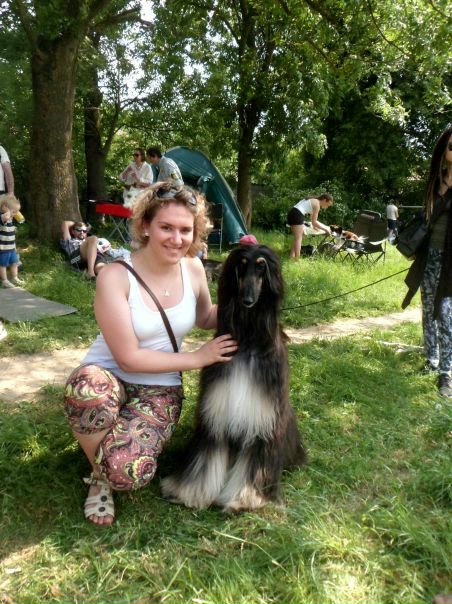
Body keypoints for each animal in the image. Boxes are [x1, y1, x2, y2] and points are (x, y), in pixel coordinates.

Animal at [161, 244, 306, 512]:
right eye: (241, 265)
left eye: (261, 267)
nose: (247, 300)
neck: (247, 336)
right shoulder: (215, 412)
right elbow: (206, 458)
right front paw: (191, 492)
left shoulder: (263, 417)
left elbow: (255, 462)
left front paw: (246, 498)